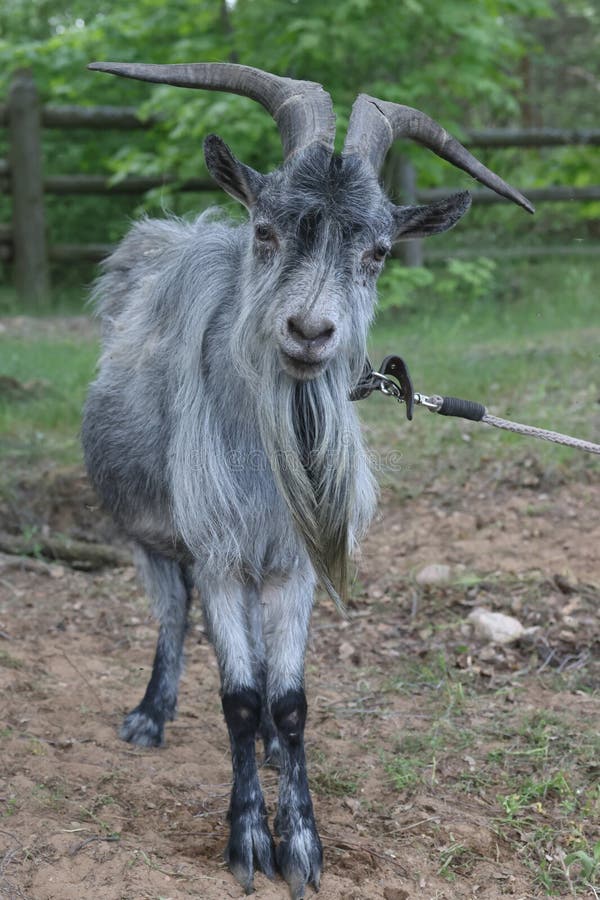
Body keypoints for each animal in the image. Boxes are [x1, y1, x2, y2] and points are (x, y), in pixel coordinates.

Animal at [82, 61, 533, 898]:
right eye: (266, 230)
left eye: (378, 252)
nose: (310, 332)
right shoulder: (221, 551)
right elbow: (236, 697)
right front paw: (247, 842)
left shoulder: (293, 561)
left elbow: (288, 702)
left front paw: (303, 846)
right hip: (151, 537)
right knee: (172, 615)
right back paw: (150, 717)